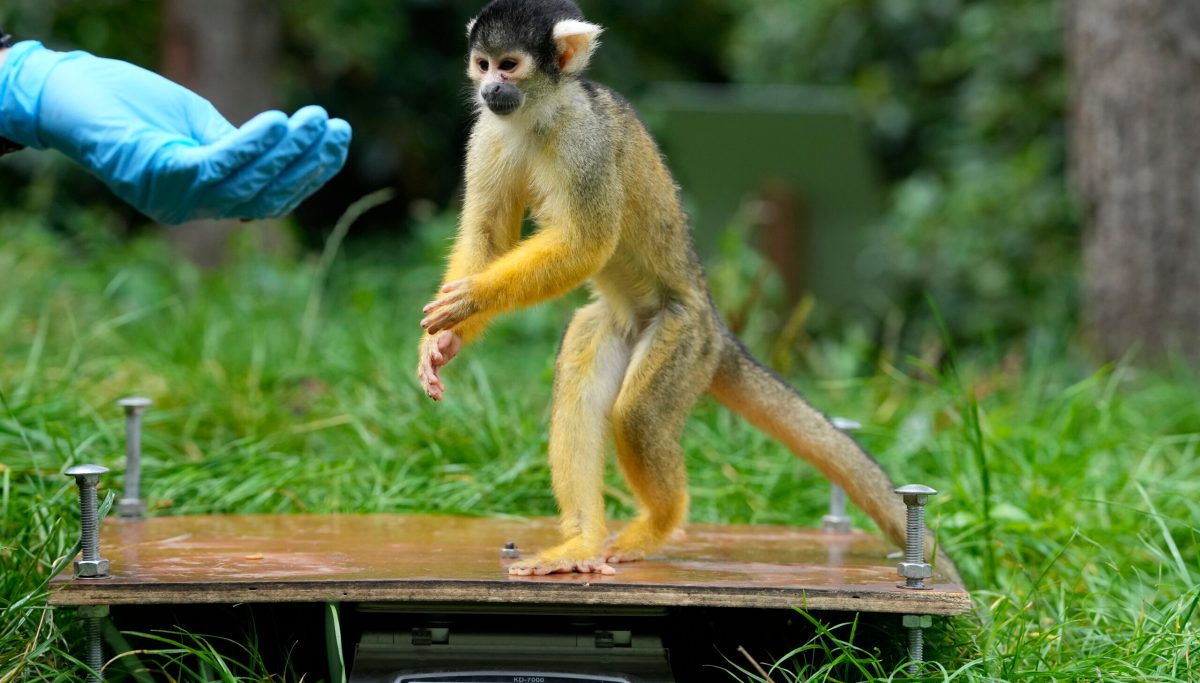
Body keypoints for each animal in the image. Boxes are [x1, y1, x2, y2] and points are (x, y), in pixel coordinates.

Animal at [418, 0, 958, 580]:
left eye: (509, 65)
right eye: (482, 64)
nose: (489, 88)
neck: (539, 113)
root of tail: (717, 325)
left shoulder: (587, 140)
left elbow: (587, 242)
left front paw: (472, 298)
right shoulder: (488, 132)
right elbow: (488, 236)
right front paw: (443, 342)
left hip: (683, 338)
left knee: (637, 415)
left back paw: (660, 520)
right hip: (620, 326)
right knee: (583, 384)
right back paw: (582, 541)